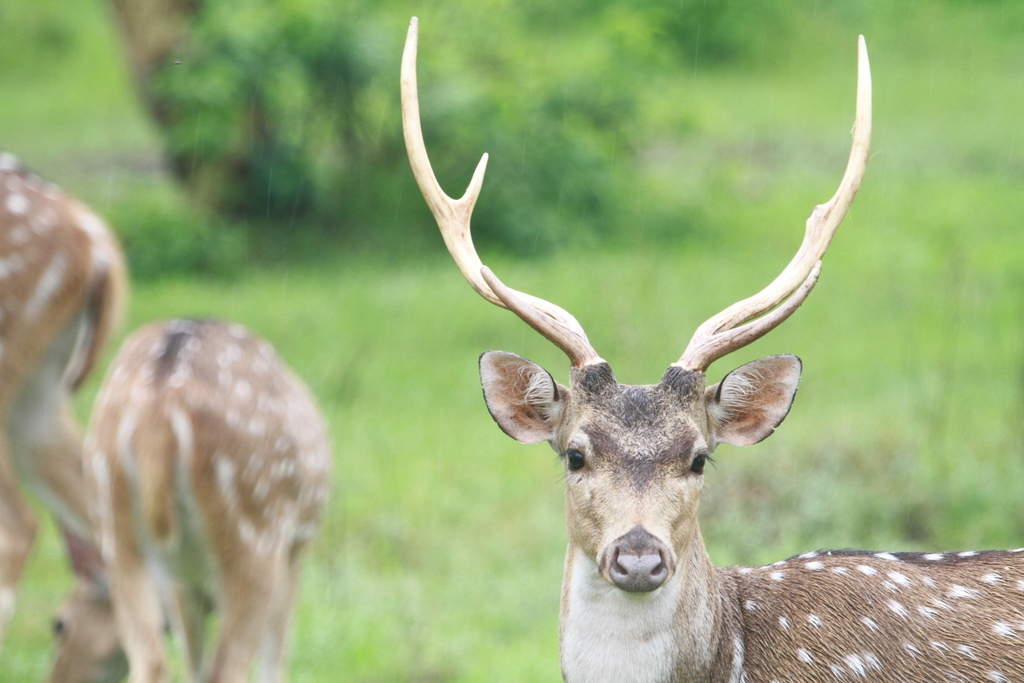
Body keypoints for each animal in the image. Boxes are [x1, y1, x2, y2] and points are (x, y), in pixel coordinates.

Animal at [49, 319, 332, 683]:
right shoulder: (295, 552)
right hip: (257, 530)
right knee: (227, 669)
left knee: (152, 660)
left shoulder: (182, 584)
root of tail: (158, 408)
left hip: (116, 522)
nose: (57, 678)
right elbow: (272, 663)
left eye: (59, 625)